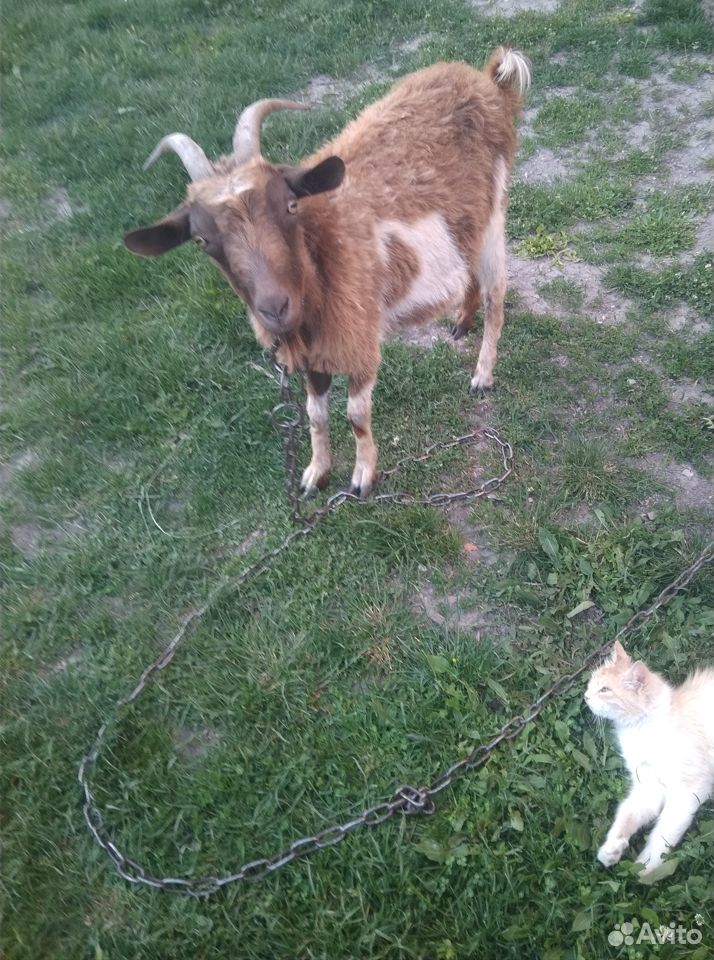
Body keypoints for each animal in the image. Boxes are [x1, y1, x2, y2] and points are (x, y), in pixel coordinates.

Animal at [124, 49, 530, 497]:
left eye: (290, 205)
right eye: (201, 239)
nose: (275, 308)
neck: (322, 253)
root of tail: (486, 82)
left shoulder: (358, 338)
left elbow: (356, 414)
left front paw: (363, 476)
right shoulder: (311, 352)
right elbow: (314, 414)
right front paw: (315, 473)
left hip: (494, 213)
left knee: (497, 296)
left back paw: (482, 374)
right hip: (467, 225)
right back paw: (461, 319)